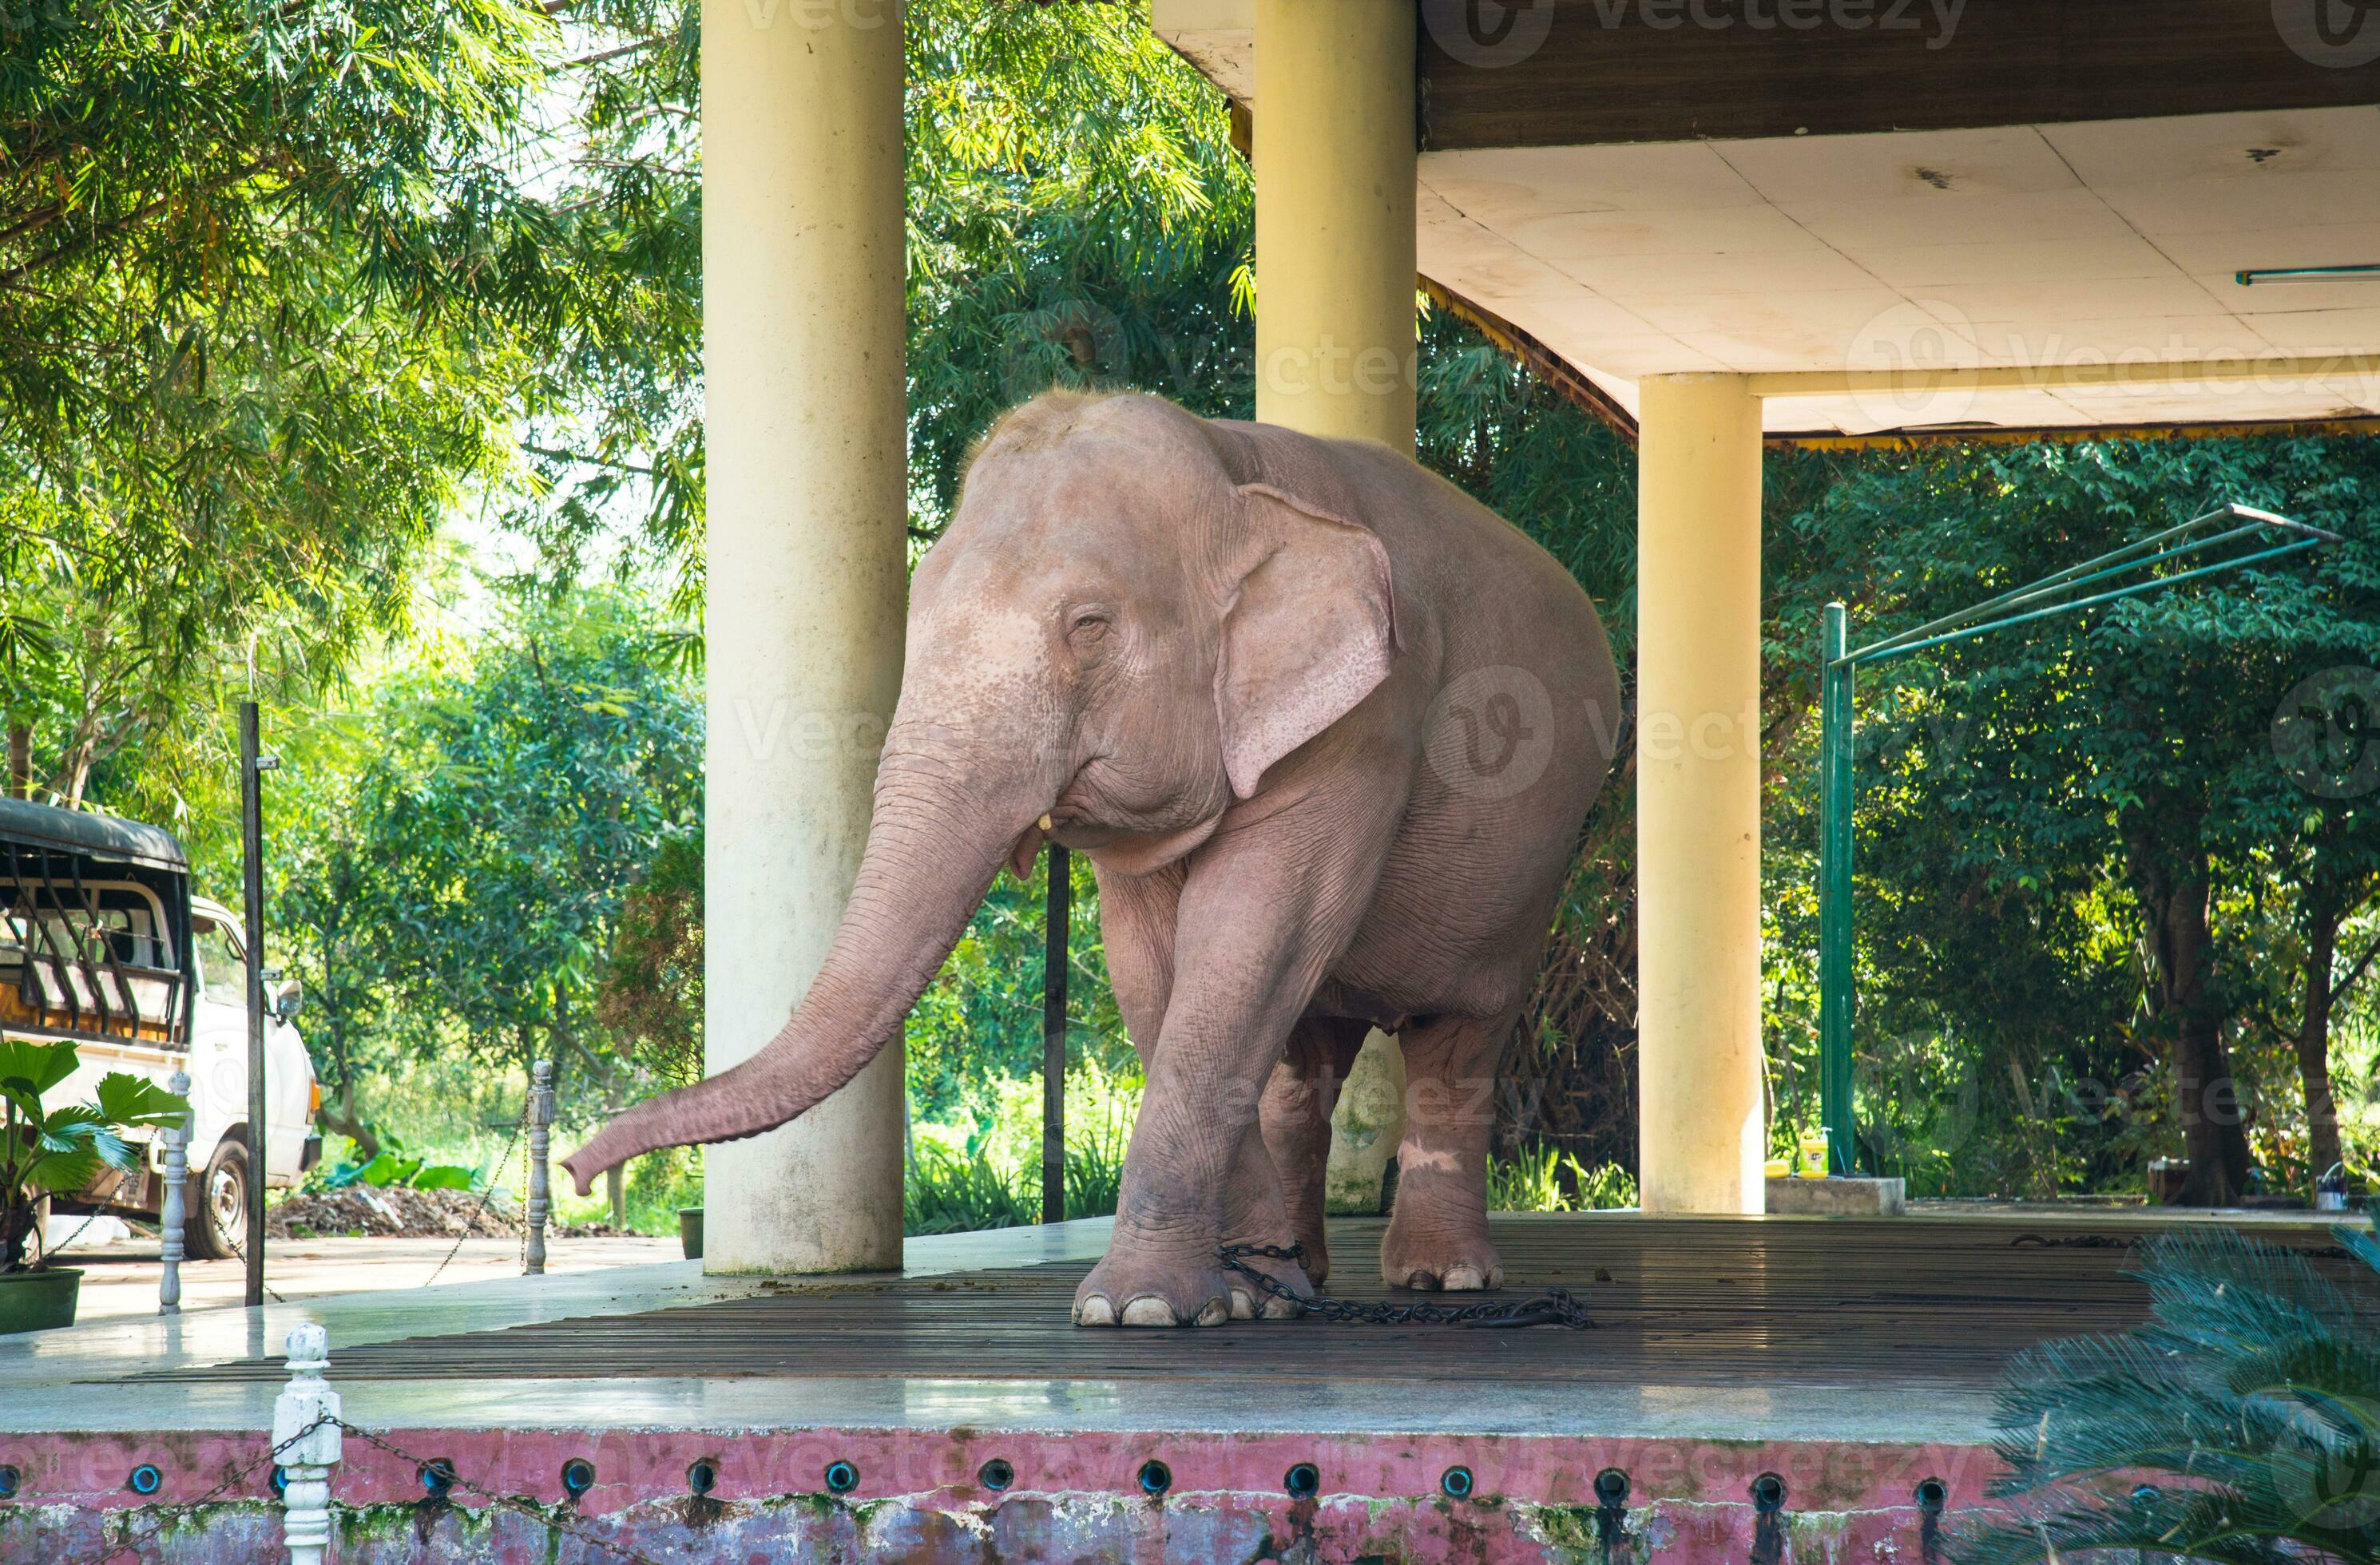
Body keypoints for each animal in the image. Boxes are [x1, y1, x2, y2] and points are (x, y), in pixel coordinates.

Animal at [562, 390, 1620, 1328]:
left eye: (1089, 625)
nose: (578, 1171)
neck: (1234, 466)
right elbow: (1154, 968)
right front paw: (1244, 1291)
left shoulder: (1367, 725)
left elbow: (1251, 938)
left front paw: (1139, 1306)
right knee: (1304, 1060)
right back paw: (1304, 1272)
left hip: (1532, 869)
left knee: (1458, 1039)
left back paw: (1443, 1279)